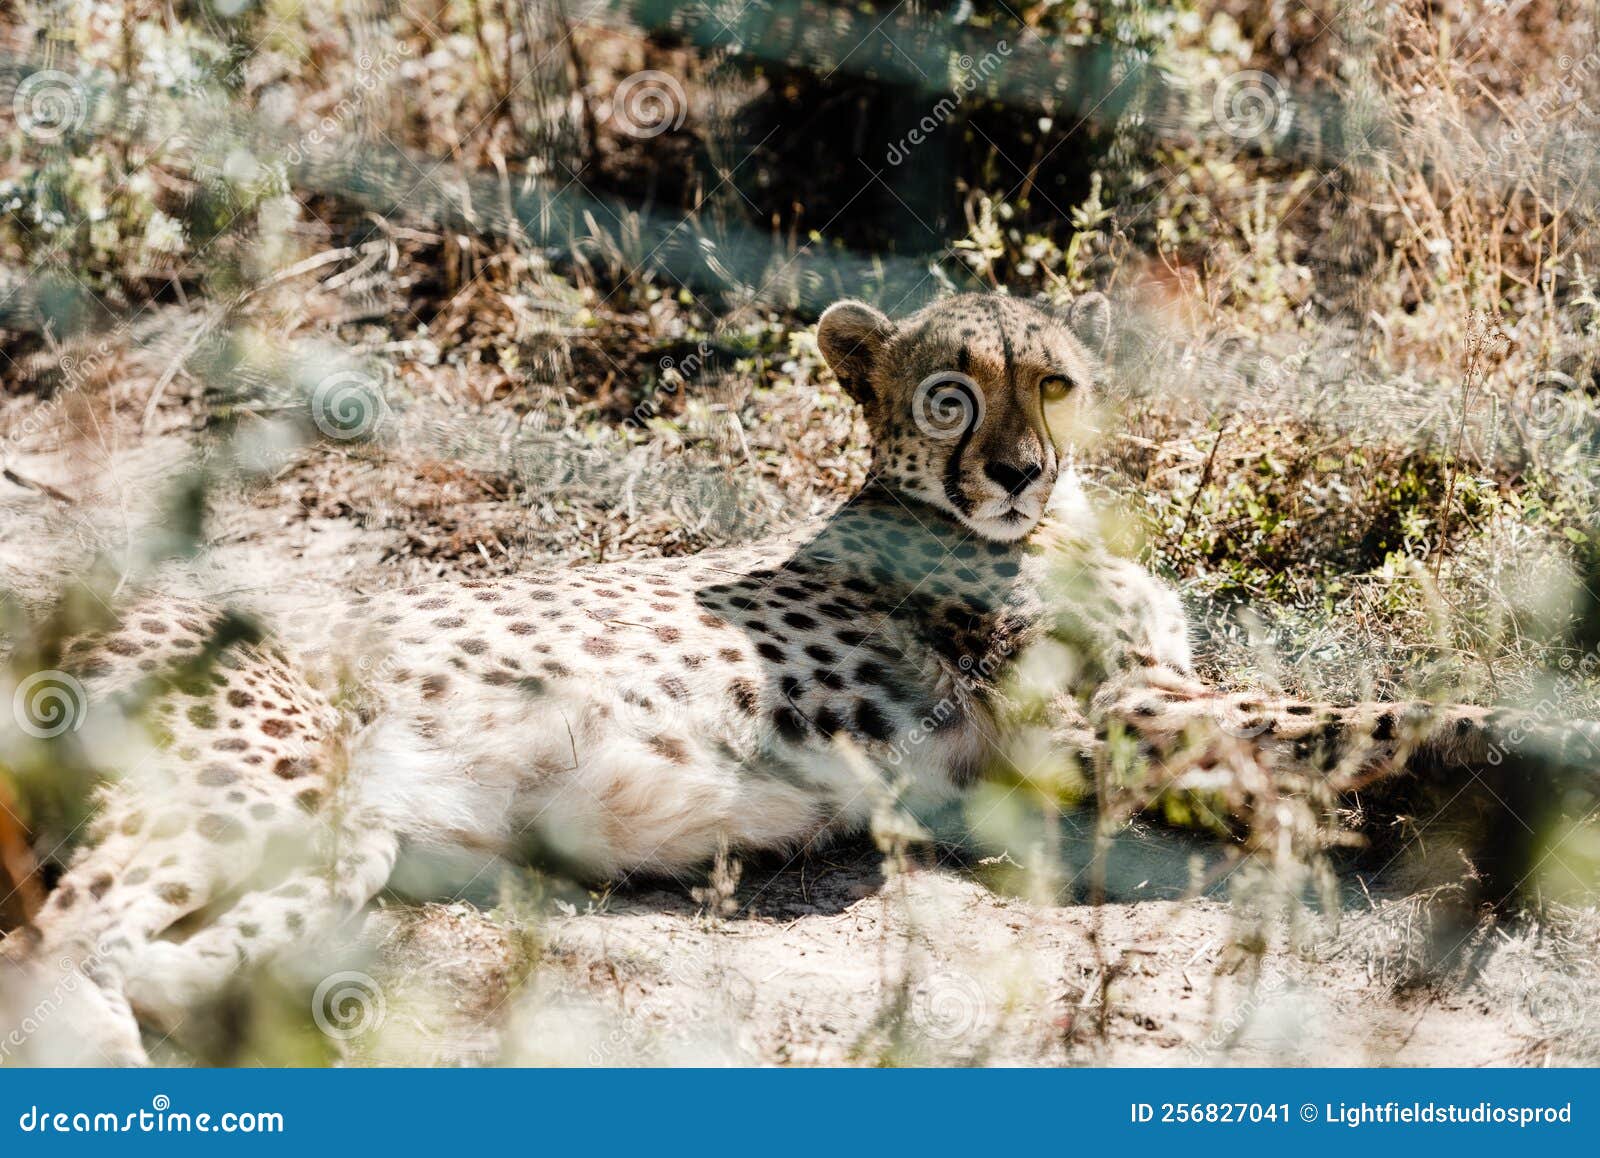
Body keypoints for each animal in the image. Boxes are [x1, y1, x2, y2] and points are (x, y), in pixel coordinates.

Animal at [4, 291, 1597, 1065]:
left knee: (145, 952)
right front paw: (1519, 755)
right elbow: (1351, 716)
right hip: (252, 771)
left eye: (1055, 383)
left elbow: (1305, 743)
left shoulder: (1101, 743)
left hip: (346, 830)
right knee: (58, 949)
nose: (1015, 471)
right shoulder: (1102, 721)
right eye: (950, 391)